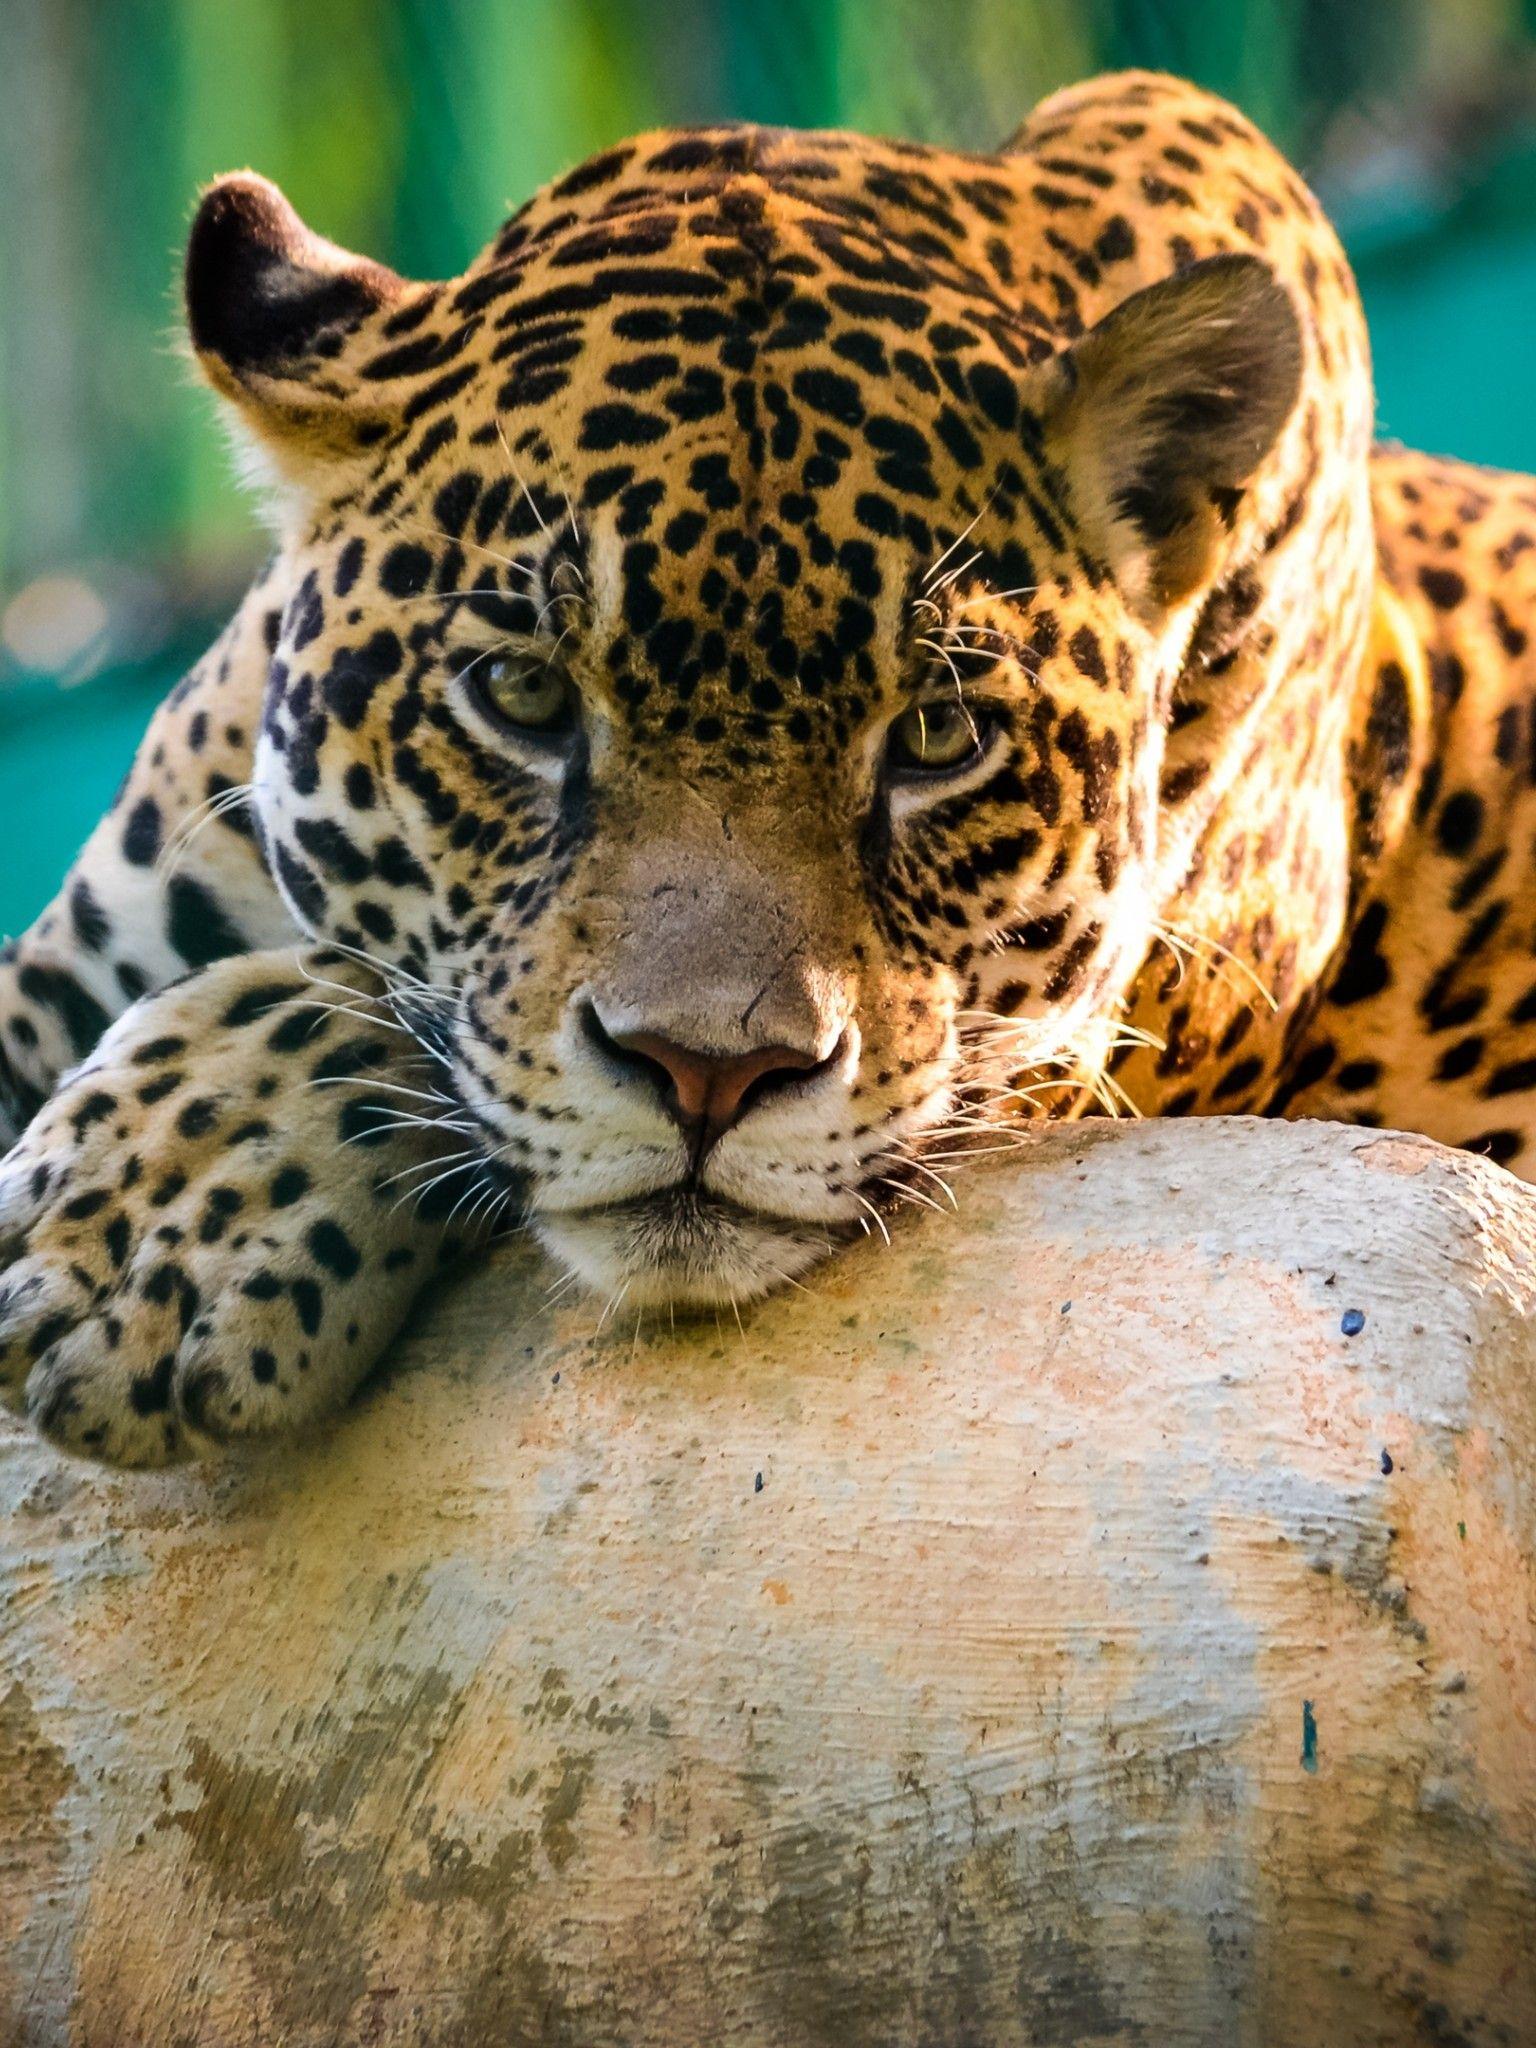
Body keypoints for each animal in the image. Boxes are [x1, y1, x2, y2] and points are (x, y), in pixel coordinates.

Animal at [3, 68, 1534, 1468]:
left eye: (937, 736)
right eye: (522, 695)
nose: (709, 1075)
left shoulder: (1109, 1015)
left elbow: (373, 997)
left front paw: (162, 1217)